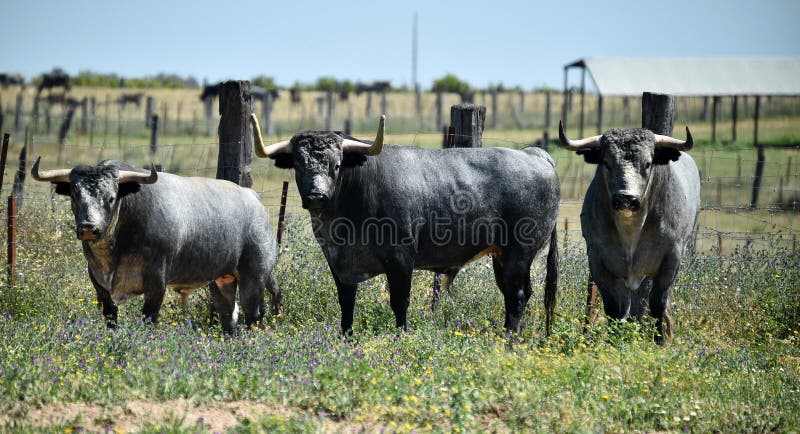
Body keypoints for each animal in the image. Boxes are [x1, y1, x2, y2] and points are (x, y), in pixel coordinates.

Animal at [31, 158, 280, 333]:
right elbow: (111, 318)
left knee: (253, 314)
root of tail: (252, 197)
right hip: (222, 281)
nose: (88, 227)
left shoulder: (156, 281)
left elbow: (149, 317)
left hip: (254, 276)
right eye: (75, 196)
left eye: (111, 198)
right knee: (229, 314)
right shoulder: (99, 284)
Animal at [251, 114, 560, 336]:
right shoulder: (338, 263)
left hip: (519, 253)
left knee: (516, 296)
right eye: (298, 165)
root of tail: (535, 154)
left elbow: (399, 302)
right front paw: (346, 337)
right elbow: (346, 304)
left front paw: (402, 337)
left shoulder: (400, 258)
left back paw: (509, 339)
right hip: (504, 255)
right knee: (519, 294)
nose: (317, 196)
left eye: (336, 165)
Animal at [558, 121, 700, 345]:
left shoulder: (671, 258)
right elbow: (613, 309)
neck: (631, 230)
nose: (626, 198)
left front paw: (660, 341)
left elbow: (658, 302)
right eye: (606, 162)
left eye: (648, 163)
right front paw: (614, 342)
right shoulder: (598, 263)